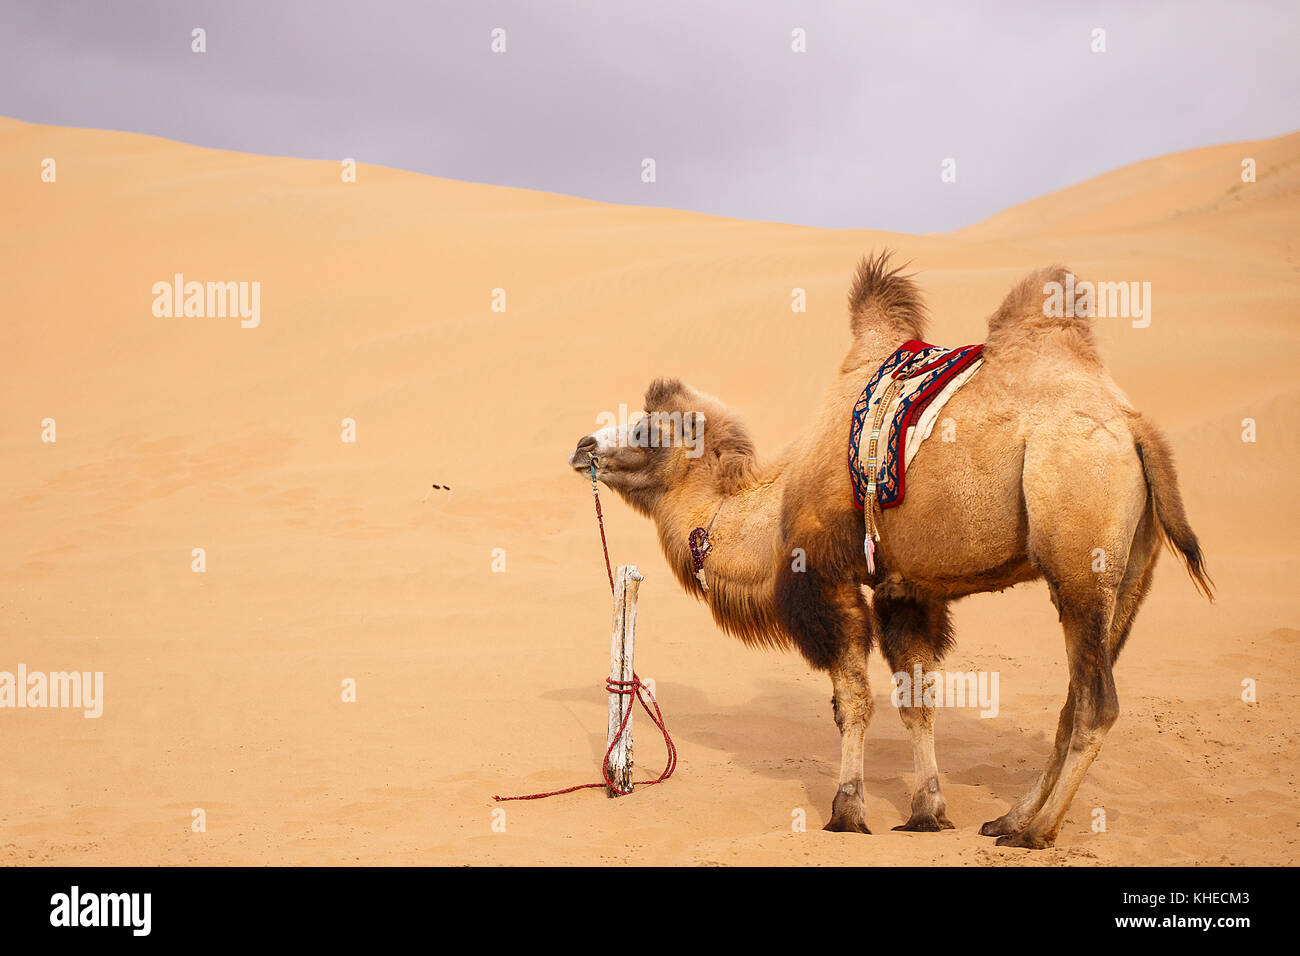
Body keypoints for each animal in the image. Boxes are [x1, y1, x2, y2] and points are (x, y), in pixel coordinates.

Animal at [567, 253, 1212, 848]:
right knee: (1076, 698)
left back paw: (1036, 831)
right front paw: (927, 812)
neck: (773, 511)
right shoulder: (907, 590)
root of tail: (1135, 428)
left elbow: (852, 701)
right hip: (1129, 573)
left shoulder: (826, 578)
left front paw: (846, 811)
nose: (583, 445)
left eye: (646, 431)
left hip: (1079, 548)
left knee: (1096, 703)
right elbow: (916, 700)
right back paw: (1009, 819)